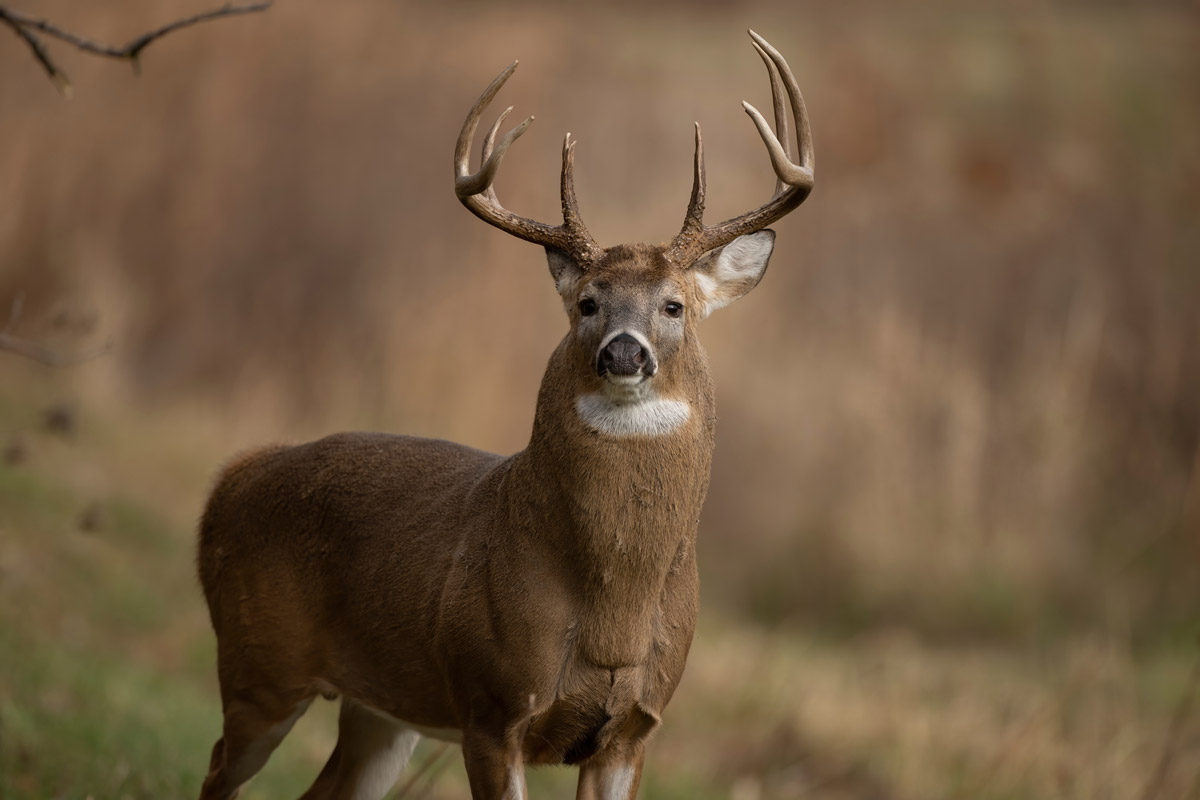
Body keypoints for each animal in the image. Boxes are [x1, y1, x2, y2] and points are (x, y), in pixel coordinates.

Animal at [196, 30, 813, 800]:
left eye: (674, 305)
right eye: (587, 301)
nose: (623, 351)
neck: (615, 611)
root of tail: (230, 480)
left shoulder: (635, 727)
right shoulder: (491, 704)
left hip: (381, 709)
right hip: (259, 662)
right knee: (218, 769)